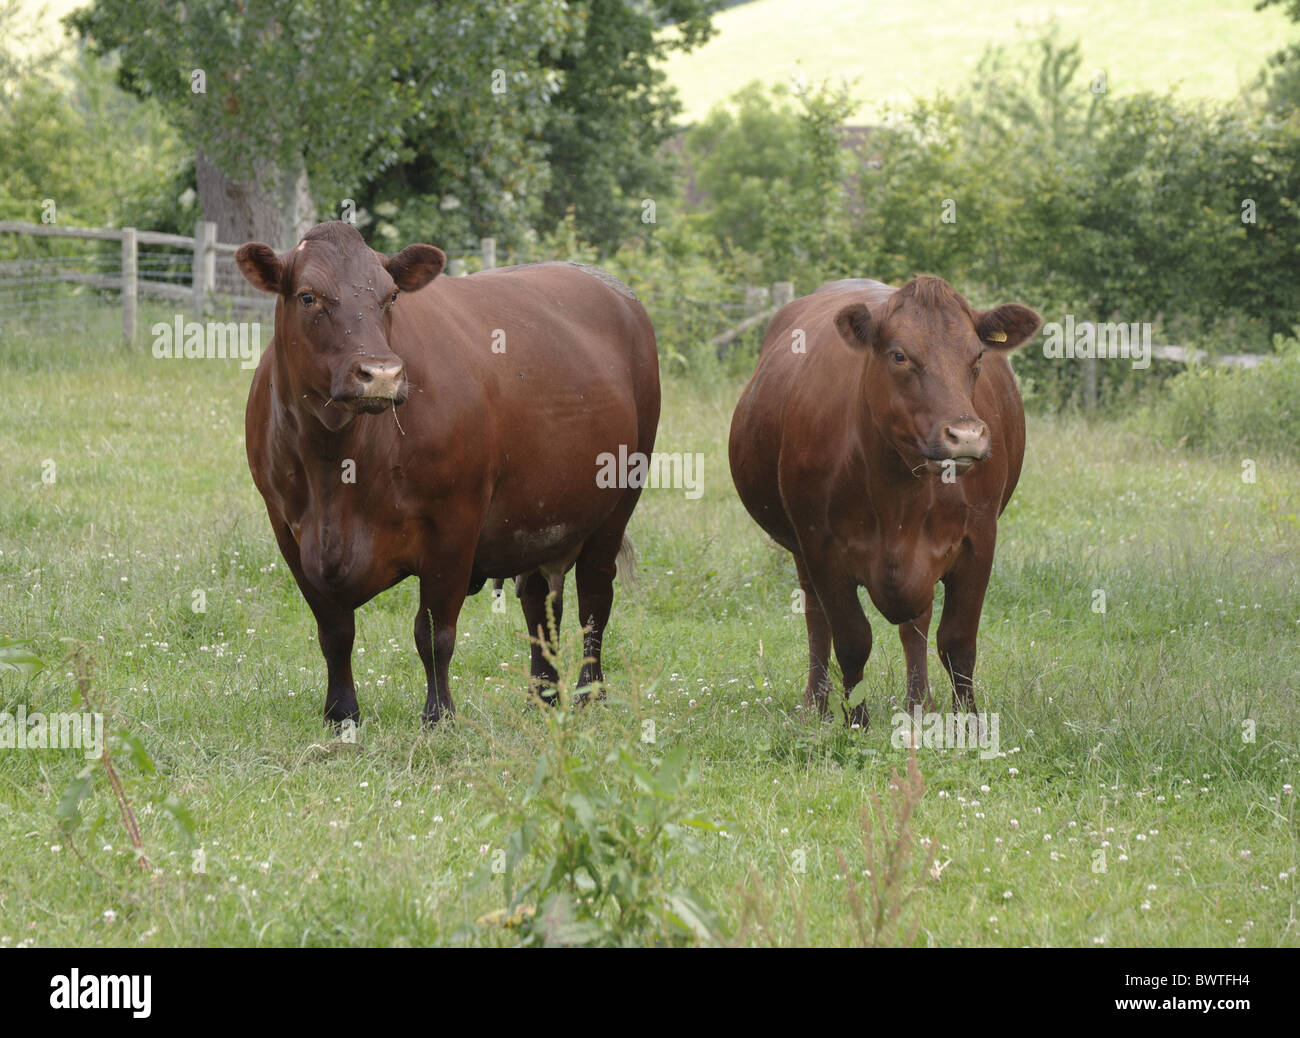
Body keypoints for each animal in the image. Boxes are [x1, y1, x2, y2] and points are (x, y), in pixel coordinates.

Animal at [237, 221, 660, 726]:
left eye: (391, 296)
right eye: (307, 296)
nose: (381, 374)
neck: (334, 465)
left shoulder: (454, 524)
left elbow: (434, 632)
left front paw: (439, 715)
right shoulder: (288, 530)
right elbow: (335, 631)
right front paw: (341, 713)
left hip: (617, 504)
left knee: (595, 599)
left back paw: (588, 695)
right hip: (538, 517)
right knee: (539, 605)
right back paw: (542, 695)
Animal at [728, 275, 1040, 727]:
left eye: (978, 354)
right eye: (899, 355)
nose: (966, 436)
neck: (901, 495)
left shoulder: (979, 539)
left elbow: (957, 643)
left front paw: (968, 723)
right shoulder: (820, 545)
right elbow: (852, 639)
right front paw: (855, 721)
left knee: (916, 625)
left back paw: (919, 704)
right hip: (801, 552)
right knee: (816, 618)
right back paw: (816, 705)